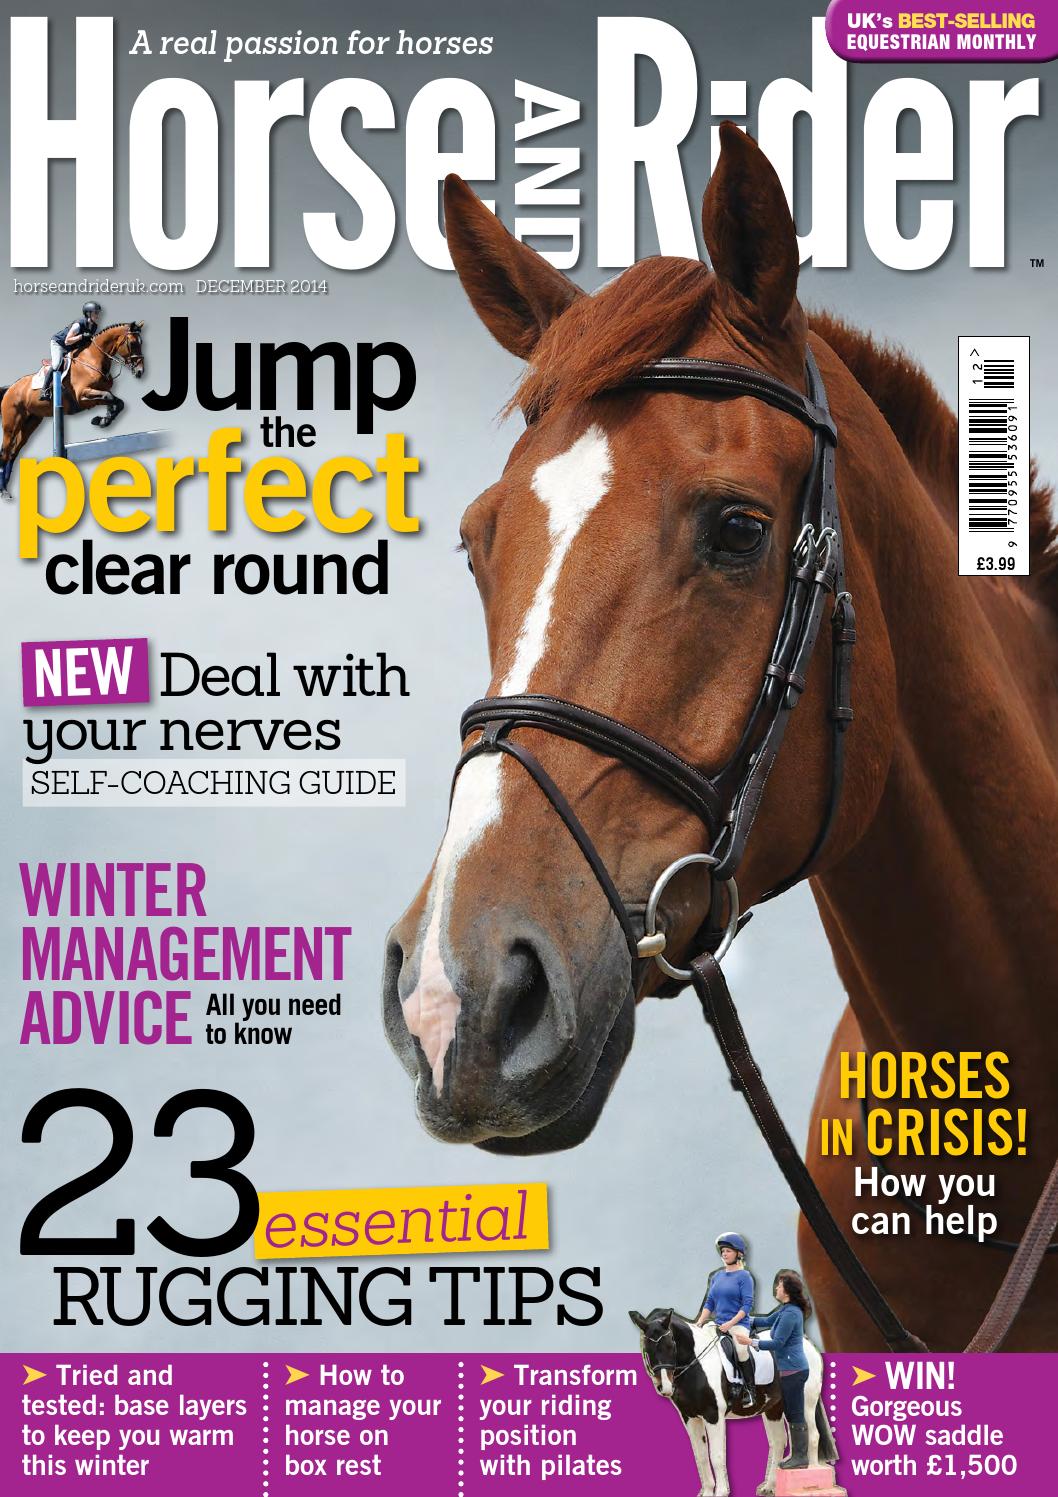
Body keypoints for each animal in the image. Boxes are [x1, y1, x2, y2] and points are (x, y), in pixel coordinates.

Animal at [0, 321, 146, 492]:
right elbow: (109, 397)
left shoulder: (97, 394)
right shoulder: (82, 396)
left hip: (31, 422)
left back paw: (6, 489)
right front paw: (100, 420)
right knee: (5, 451)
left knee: (14, 452)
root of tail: (11, 387)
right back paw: (3, 490)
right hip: (11, 423)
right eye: (133, 343)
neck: (93, 359)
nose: (140, 371)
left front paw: (104, 420)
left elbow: (116, 401)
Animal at [630, 1308, 835, 1497]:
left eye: (670, 1344)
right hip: (774, 1409)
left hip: (805, 1402)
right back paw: (769, 1487)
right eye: (647, 1348)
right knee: (779, 1441)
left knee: (812, 1435)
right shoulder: (690, 1417)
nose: (664, 1387)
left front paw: (720, 1492)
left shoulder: (713, 1416)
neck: (697, 1364)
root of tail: (808, 1343)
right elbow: (701, 1456)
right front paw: (707, 1492)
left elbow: (717, 1455)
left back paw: (811, 1478)